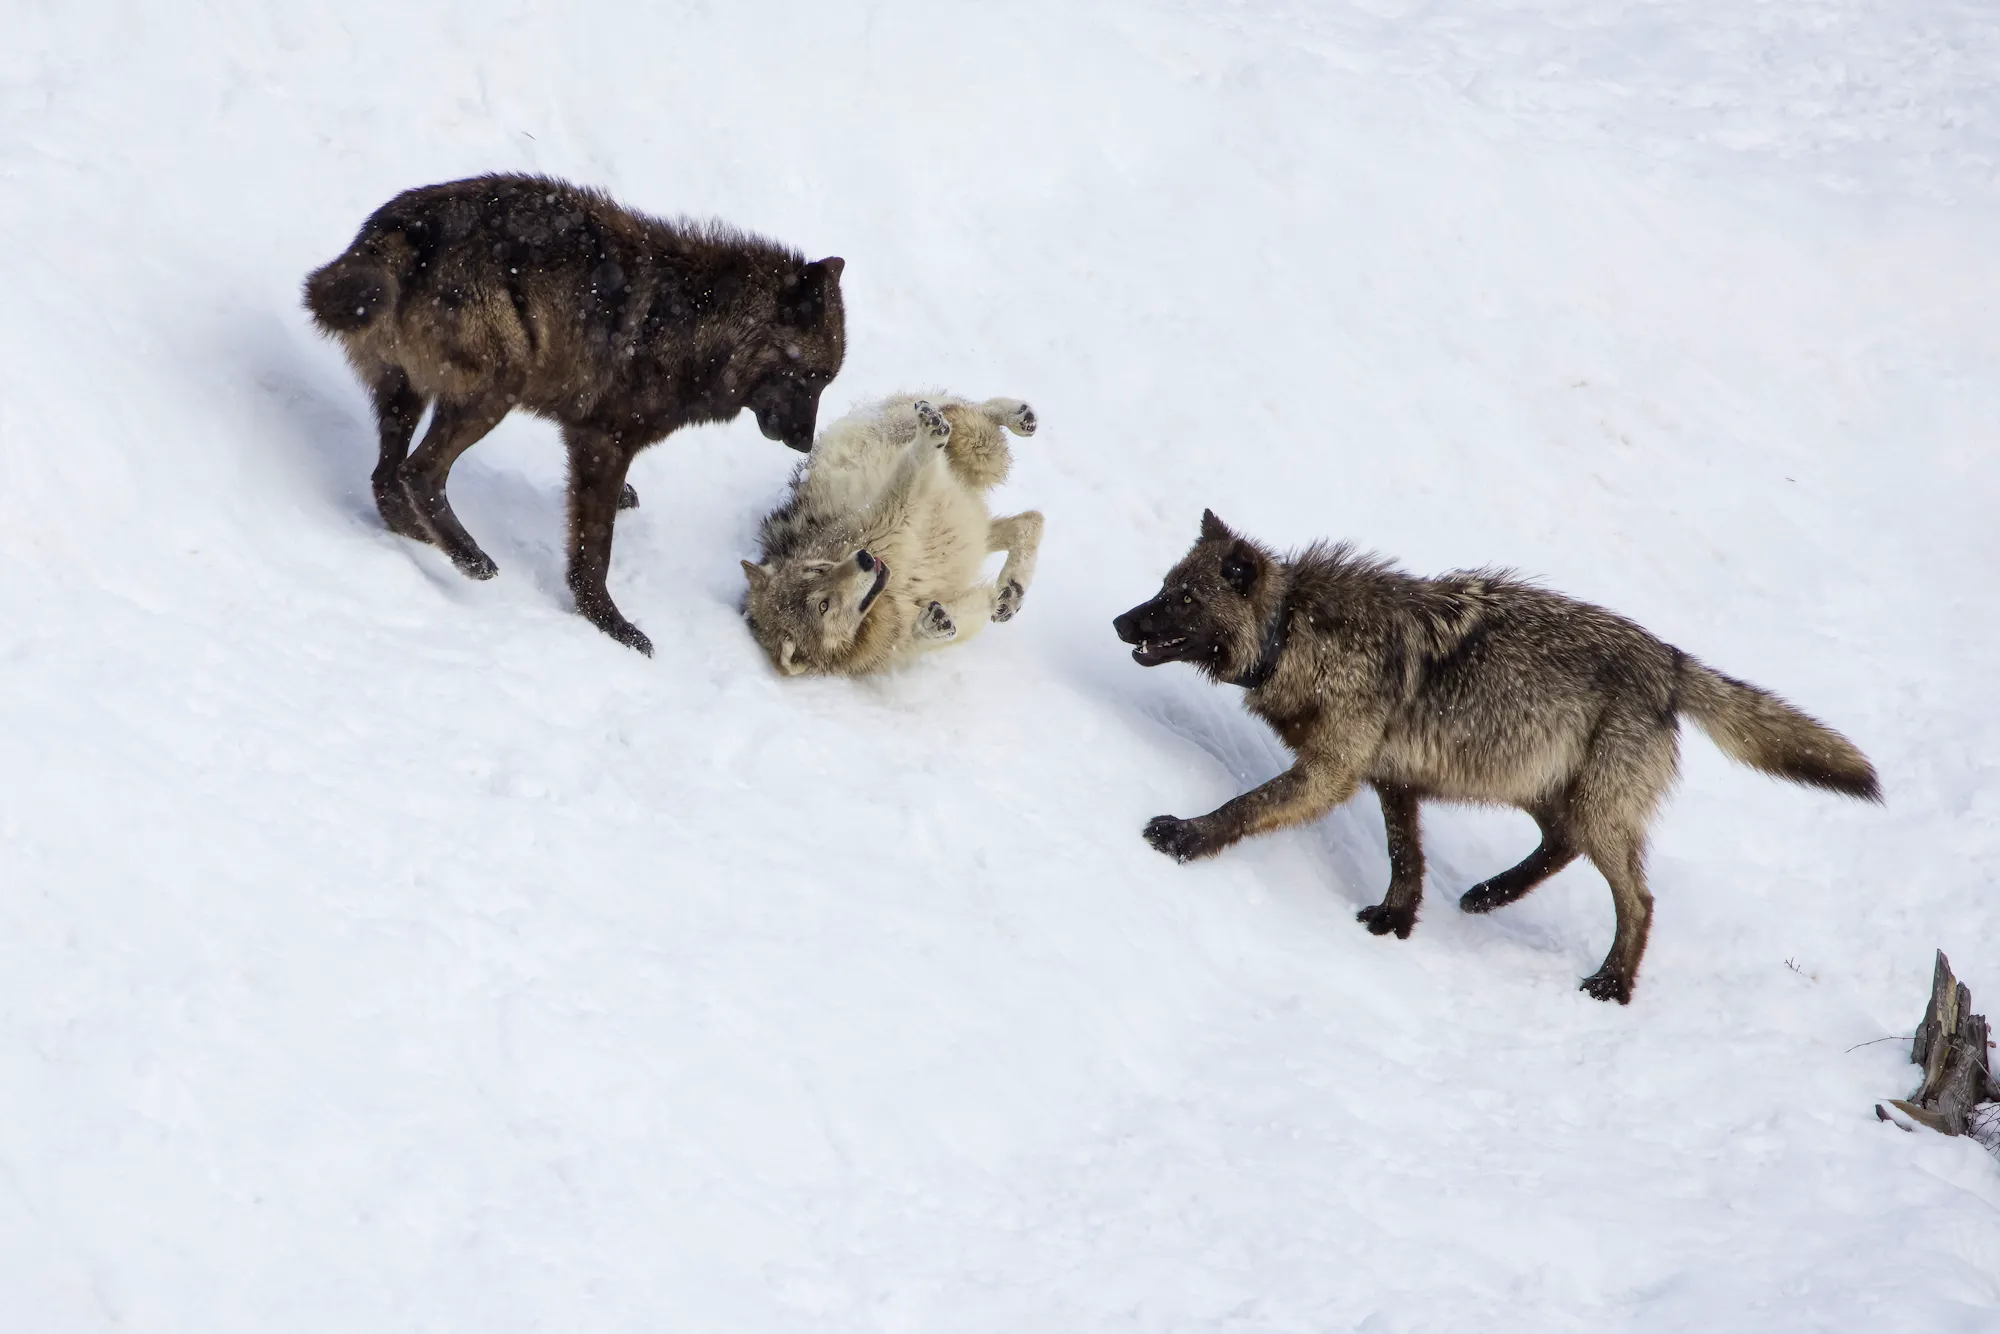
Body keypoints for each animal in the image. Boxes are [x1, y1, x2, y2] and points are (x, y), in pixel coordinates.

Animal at [303, 173, 846, 655]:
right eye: (810, 377)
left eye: (826, 381)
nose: (805, 443)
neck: (701, 323)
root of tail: (404, 226)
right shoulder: (604, 443)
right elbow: (595, 554)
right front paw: (611, 625)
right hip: (495, 392)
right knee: (418, 473)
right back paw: (469, 557)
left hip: (407, 395)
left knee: (385, 476)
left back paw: (419, 537)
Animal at [741, 394, 1043, 677]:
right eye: (824, 606)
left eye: (816, 570)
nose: (864, 558)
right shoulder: (900, 636)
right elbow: (963, 617)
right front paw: (933, 625)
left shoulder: (890, 514)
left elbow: (912, 463)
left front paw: (929, 435)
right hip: (975, 512)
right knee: (1031, 519)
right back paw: (1012, 590)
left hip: (965, 452)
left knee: (974, 410)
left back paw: (1015, 416)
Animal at [1113, 511, 1880, 1004]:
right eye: (1162, 586)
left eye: (1182, 598)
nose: (1122, 622)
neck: (1293, 632)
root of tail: (1669, 660)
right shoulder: (1392, 781)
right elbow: (1405, 859)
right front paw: (1395, 921)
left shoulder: (1330, 776)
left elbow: (1244, 807)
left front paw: (1182, 837)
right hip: (1539, 789)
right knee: (1560, 846)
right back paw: (1488, 895)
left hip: (1587, 807)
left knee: (1638, 899)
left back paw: (1611, 984)